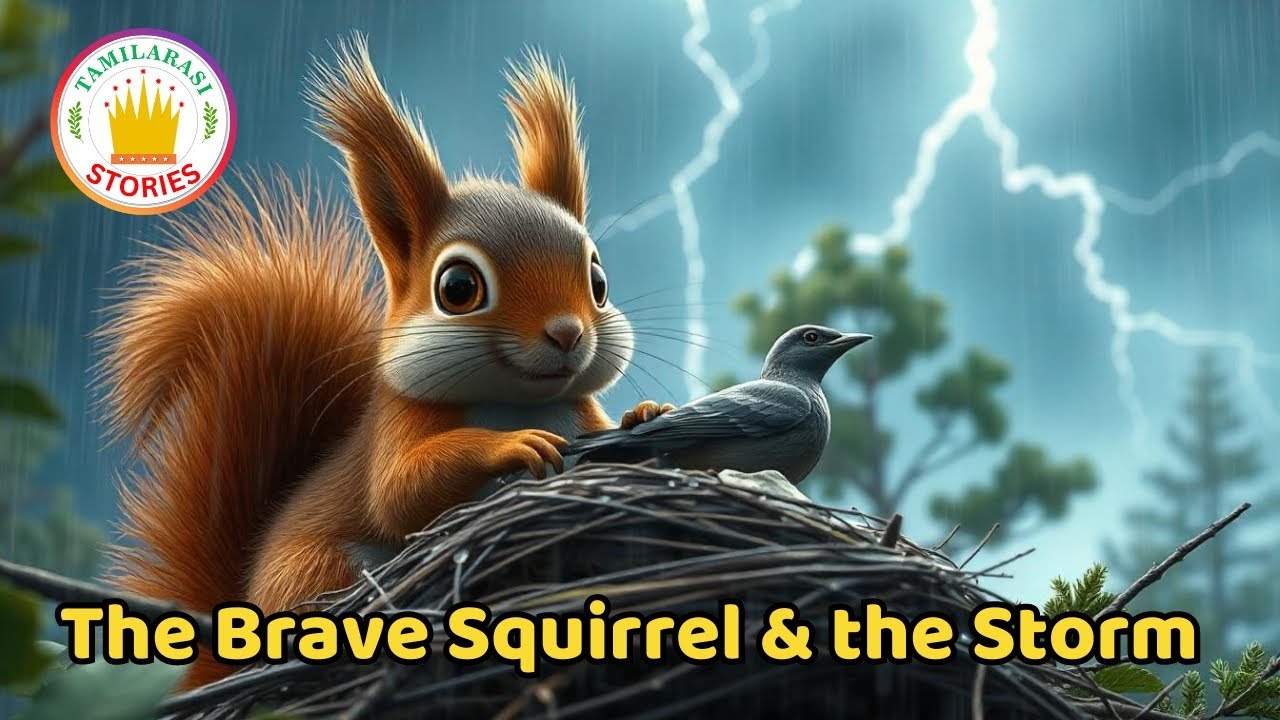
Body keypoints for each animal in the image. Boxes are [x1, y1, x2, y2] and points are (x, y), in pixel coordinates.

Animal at [98, 36, 671, 687]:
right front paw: (511, 445)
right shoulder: (400, 423)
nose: (568, 332)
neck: (513, 400)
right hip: (316, 570)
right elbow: (401, 490)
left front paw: (644, 413)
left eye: (599, 282)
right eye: (457, 287)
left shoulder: (580, 412)